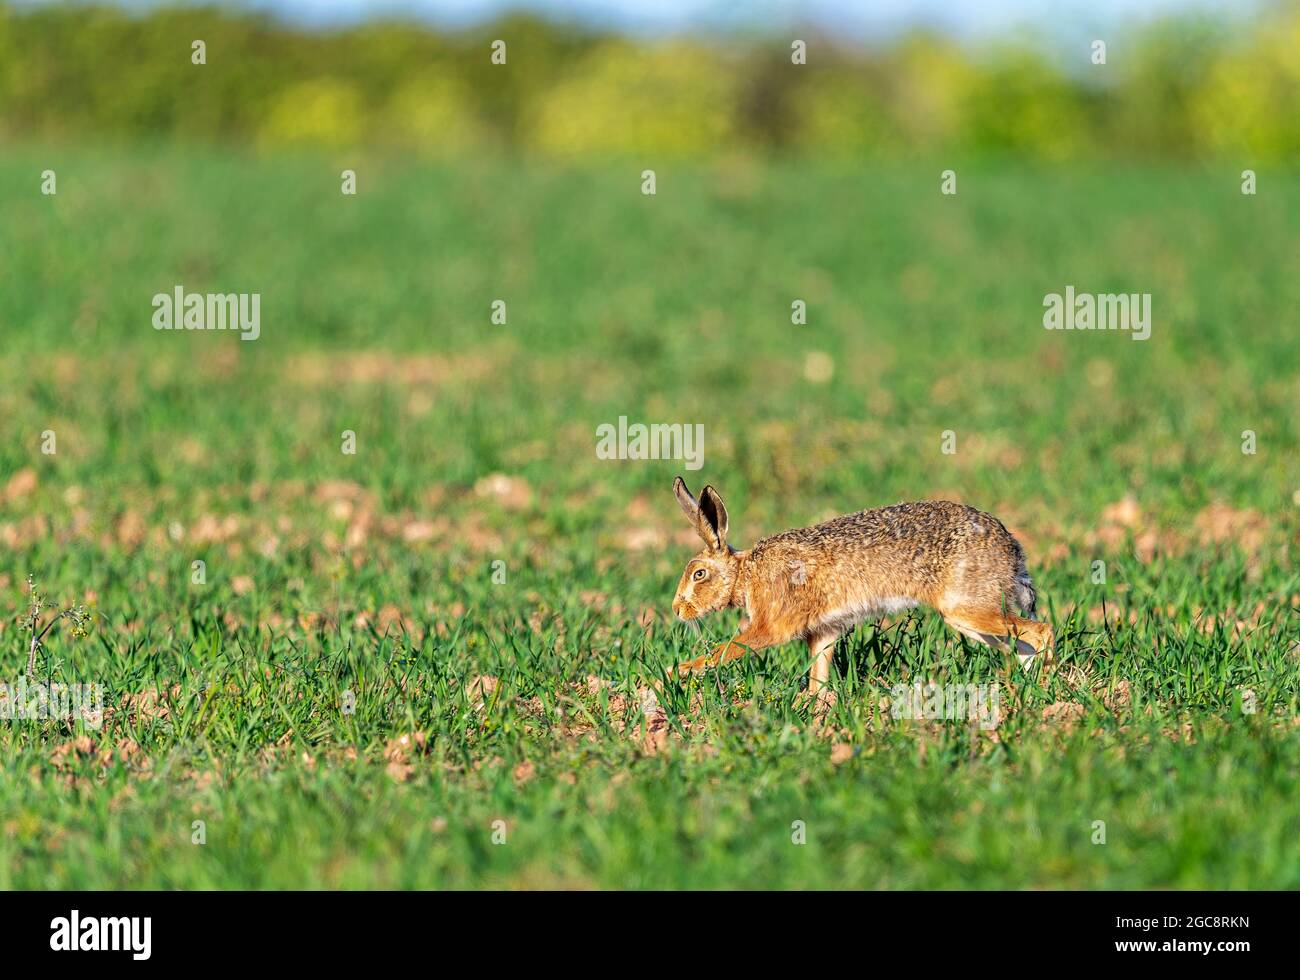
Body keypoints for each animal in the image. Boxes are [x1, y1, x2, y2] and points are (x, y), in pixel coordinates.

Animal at [670, 477, 1053, 693]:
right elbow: (819, 672)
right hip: (972, 621)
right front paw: (816, 708)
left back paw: (1044, 687)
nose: (677, 610)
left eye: (699, 574)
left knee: (1042, 631)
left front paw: (678, 672)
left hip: (967, 608)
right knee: (1023, 643)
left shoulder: (770, 626)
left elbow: (728, 650)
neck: (746, 574)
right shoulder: (822, 633)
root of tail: (1012, 551)